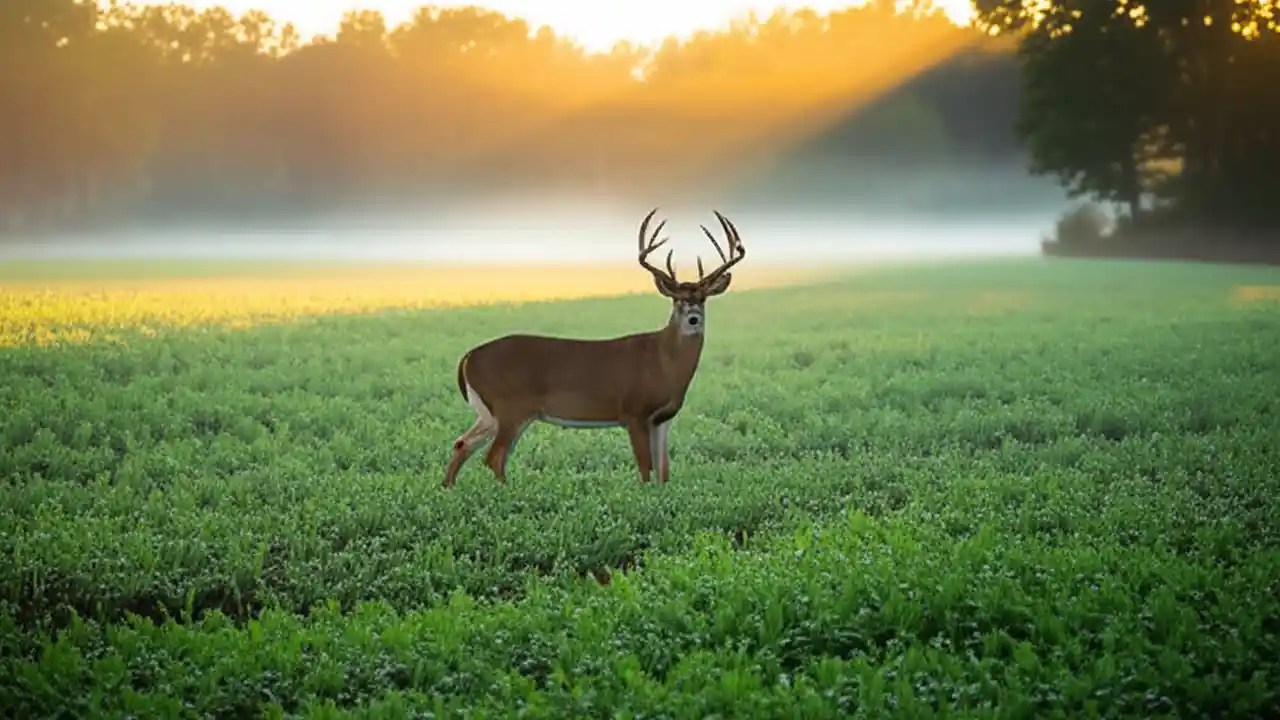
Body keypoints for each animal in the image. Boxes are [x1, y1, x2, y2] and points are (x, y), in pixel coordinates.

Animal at [443, 208, 746, 487]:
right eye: (677, 299)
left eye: (703, 298)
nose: (693, 318)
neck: (664, 363)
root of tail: (467, 358)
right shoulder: (634, 411)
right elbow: (645, 469)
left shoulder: (663, 418)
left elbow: (663, 473)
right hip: (510, 407)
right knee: (494, 457)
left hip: (491, 412)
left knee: (462, 444)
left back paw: (449, 489)